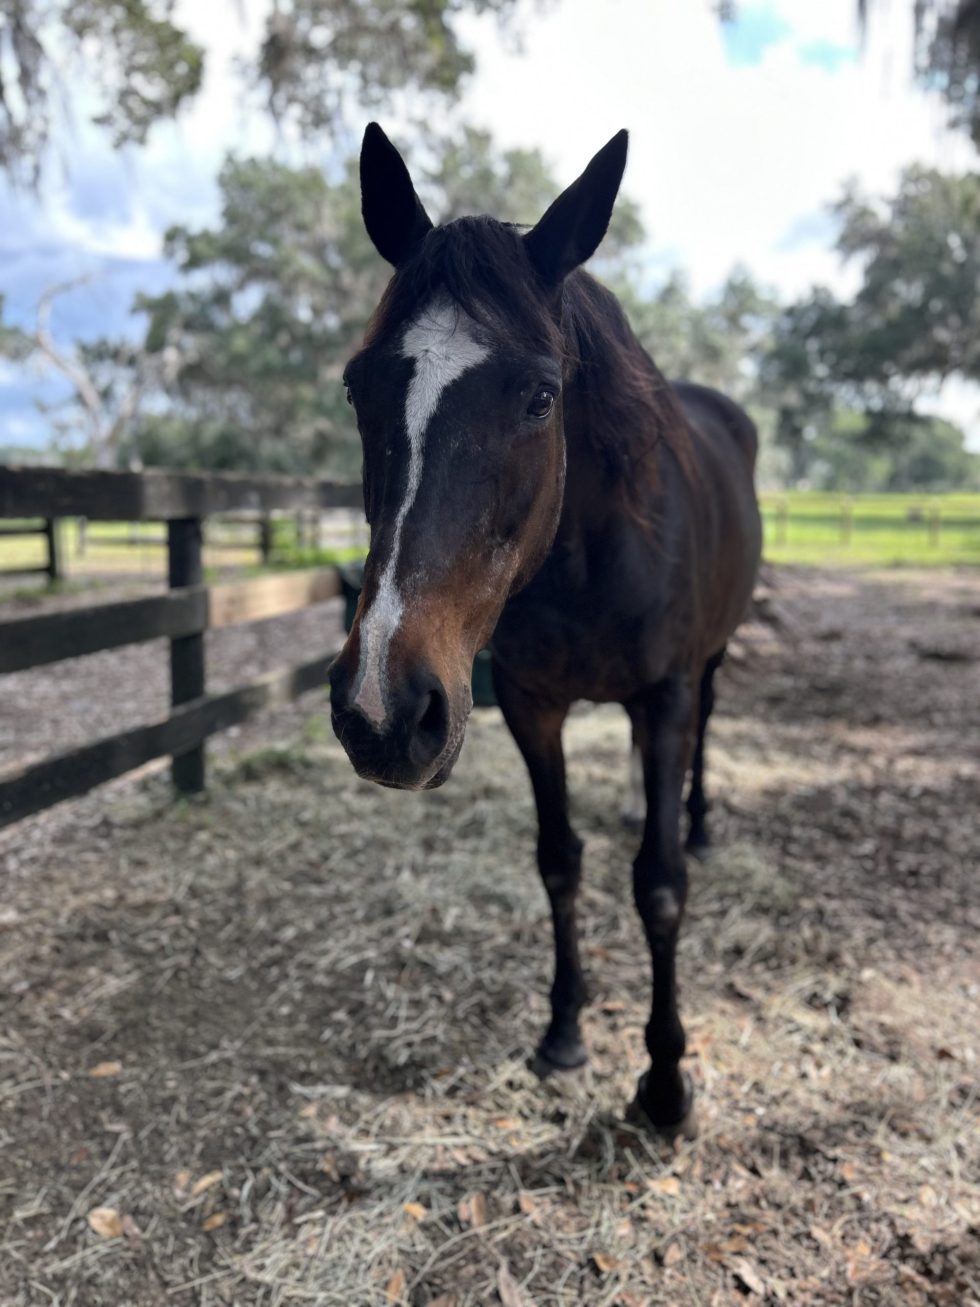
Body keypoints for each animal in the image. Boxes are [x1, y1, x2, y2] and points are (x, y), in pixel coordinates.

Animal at [328, 124, 762, 1138]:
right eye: (360, 389)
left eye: (539, 396)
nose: (381, 709)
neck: (590, 563)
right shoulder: (531, 705)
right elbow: (559, 862)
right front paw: (565, 1030)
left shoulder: (663, 694)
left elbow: (659, 884)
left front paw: (665, 1080)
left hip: (708, 666)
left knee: (705, 737)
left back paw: (701, 819)